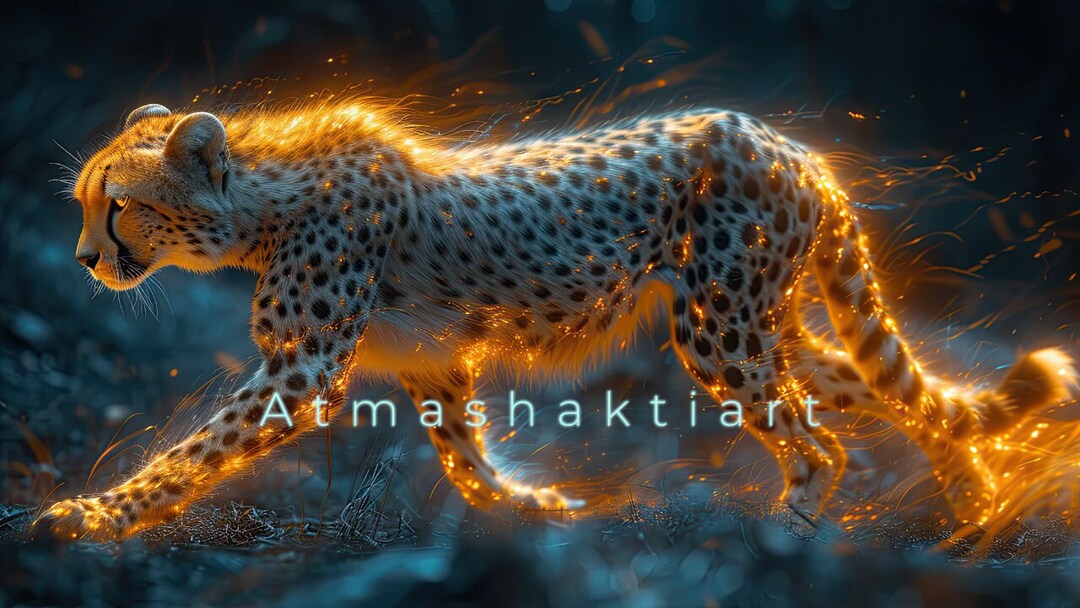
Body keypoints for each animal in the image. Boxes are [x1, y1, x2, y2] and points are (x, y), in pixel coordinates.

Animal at [37, 100, 1076, 541]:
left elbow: (192, 455)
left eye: (117, 205)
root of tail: (789, 143)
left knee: (821, 440)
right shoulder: (431, 364)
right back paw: (975, 498)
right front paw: (536, 511)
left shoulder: (300, 373)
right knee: (874, 387)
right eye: (86, 204)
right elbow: (466, 462)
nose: (83, 260)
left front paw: (90, 517)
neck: (258, 201)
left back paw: (789, 532)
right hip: (754, 320)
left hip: (719, 327)